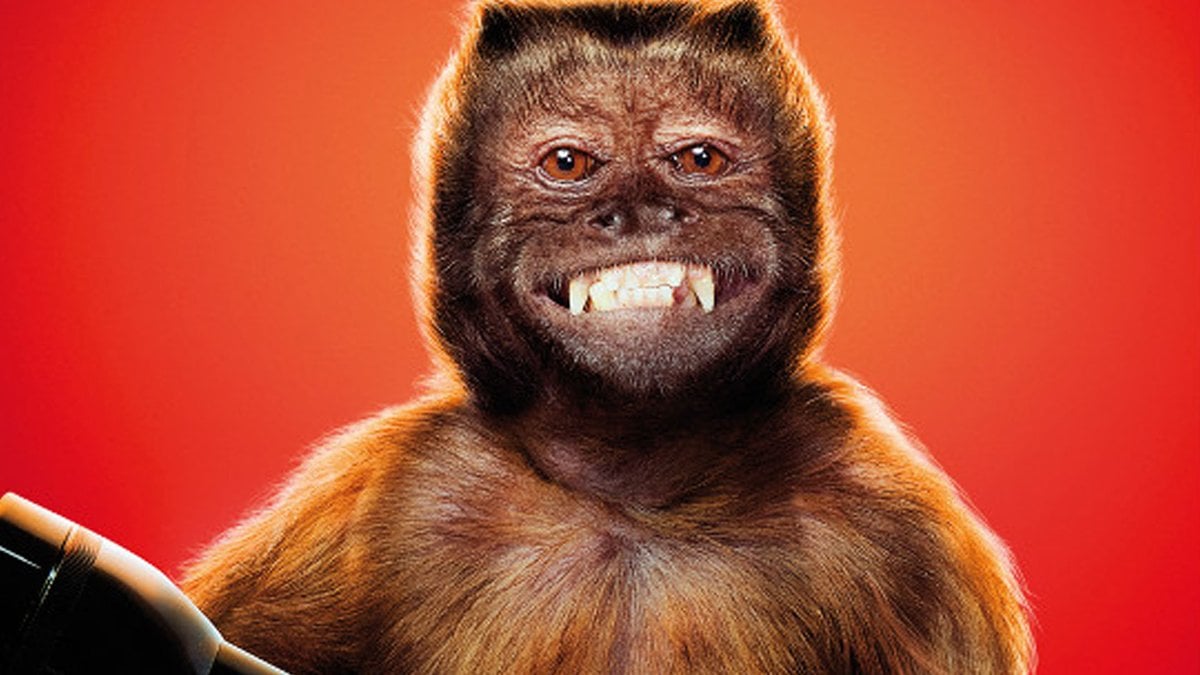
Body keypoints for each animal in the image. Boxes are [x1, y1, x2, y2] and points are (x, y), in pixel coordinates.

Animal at [181, 0, 1035, 672]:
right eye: (568, 164)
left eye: (699, 159)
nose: (640, 211)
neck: (630, 495)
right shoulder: (399, 489)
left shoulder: (905, 538)